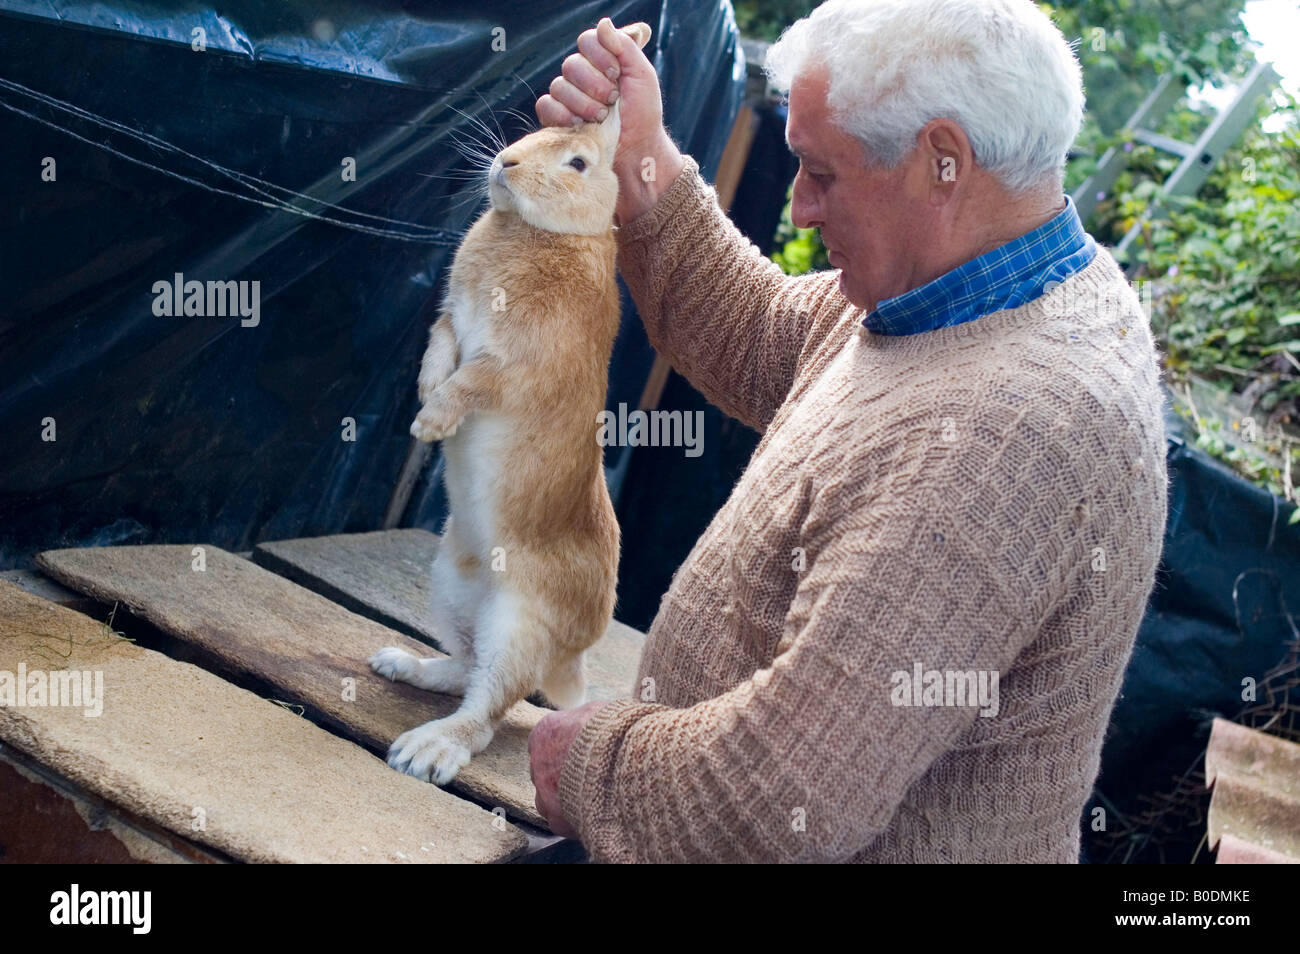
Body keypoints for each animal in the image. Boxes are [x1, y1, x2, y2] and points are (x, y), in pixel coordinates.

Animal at [367, 22, 651, 788]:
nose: (505, 161)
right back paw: (400, 664)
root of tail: (571, 655)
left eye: (579, 162)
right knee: (465, 670)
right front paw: (424, 399)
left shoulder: (513, 366)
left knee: (489, 707)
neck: (545, 230)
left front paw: (430, 420)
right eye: (537, 130)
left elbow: (473, 383)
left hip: (517, 623)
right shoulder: (452, 322)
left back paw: (426, 751)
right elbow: (439, 349)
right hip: (450, 587)